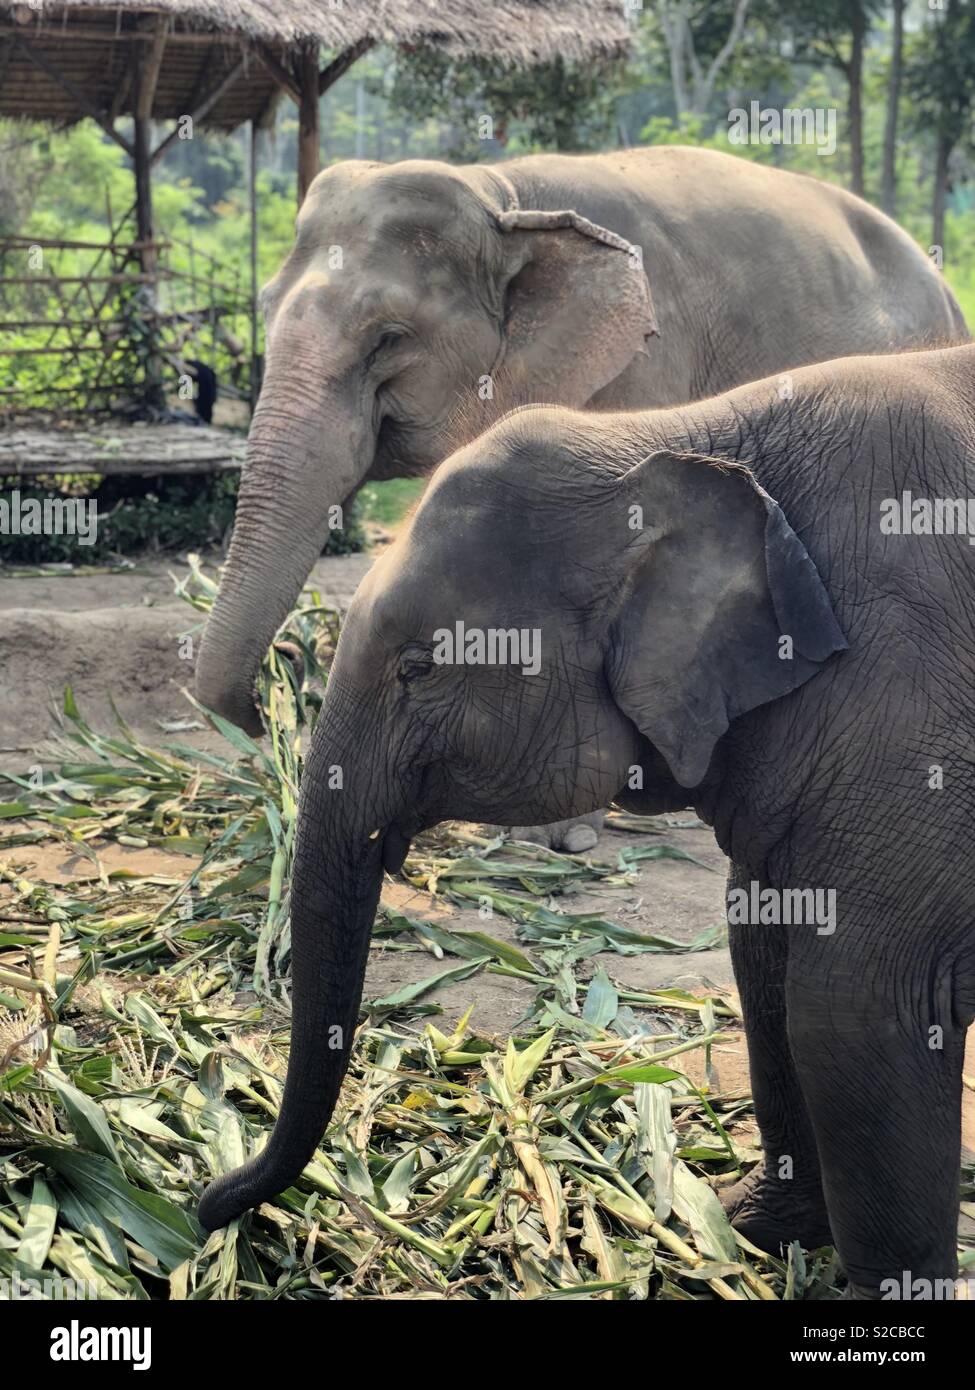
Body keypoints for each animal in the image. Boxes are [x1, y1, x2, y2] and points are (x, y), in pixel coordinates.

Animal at [198, 339, 975, 1301]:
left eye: (419, 668)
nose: (206, 1206)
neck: (681, 437)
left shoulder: (911, 701)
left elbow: (853, 1008)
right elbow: (764, 961)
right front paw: (743, 1233)